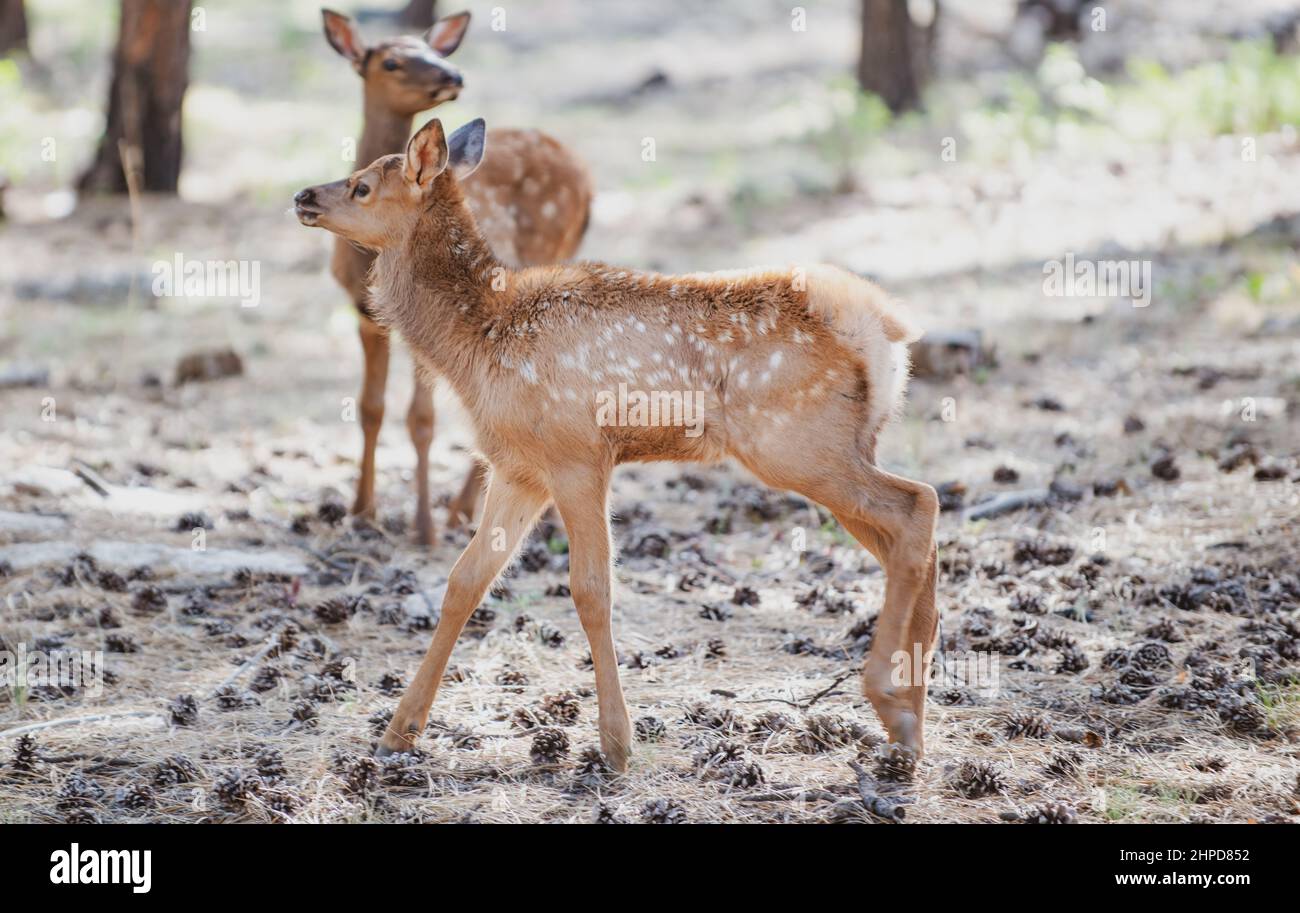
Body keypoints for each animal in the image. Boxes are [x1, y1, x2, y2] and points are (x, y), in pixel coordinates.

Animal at [293, 118, 940, 772]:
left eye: (363, 185)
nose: (304, 196)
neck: (477, 342)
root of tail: (885, 329)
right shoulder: (519, 469)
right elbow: (465, 580)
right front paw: (398, 732)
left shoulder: (576, 453)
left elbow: (591, 589)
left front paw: (615, 743)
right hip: (842, 446)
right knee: (910, 533)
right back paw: (909, 724)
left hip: (796, 444)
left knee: (919, 504)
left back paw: (889, 703)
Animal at [320, 9, 592, 545]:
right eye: (391, 61)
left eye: (436, 51)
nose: (453, 76)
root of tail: (586, 176)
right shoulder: (363, 315)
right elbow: (370, 410)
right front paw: (361, 512)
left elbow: (421, 419)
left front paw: (421, 527)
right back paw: (466, 508)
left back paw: (468, 512)